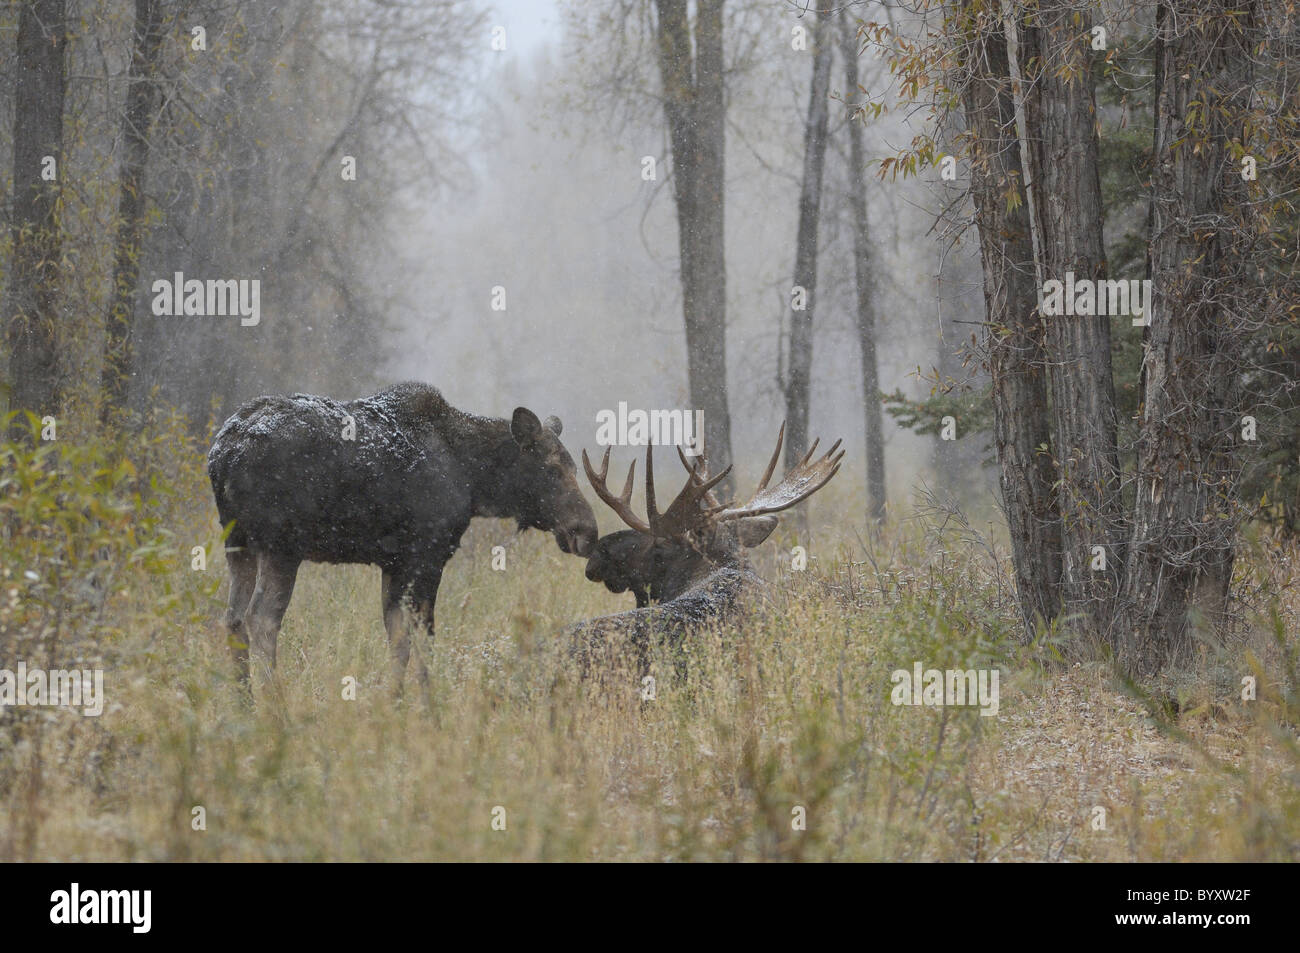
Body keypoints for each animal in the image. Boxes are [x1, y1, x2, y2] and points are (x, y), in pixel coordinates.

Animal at [207, 381, 598, 689]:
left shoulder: (393, 562)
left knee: (233, 619)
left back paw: (245, 704)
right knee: (261, 620)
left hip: (237, 542)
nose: (587, 531)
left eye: (574, 468)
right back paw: (276, 709)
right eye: (551, 469)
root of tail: (222, 456)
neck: (475, 482)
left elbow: (397, 638)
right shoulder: (427, 555)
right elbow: (423, 639)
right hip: (282, 545)